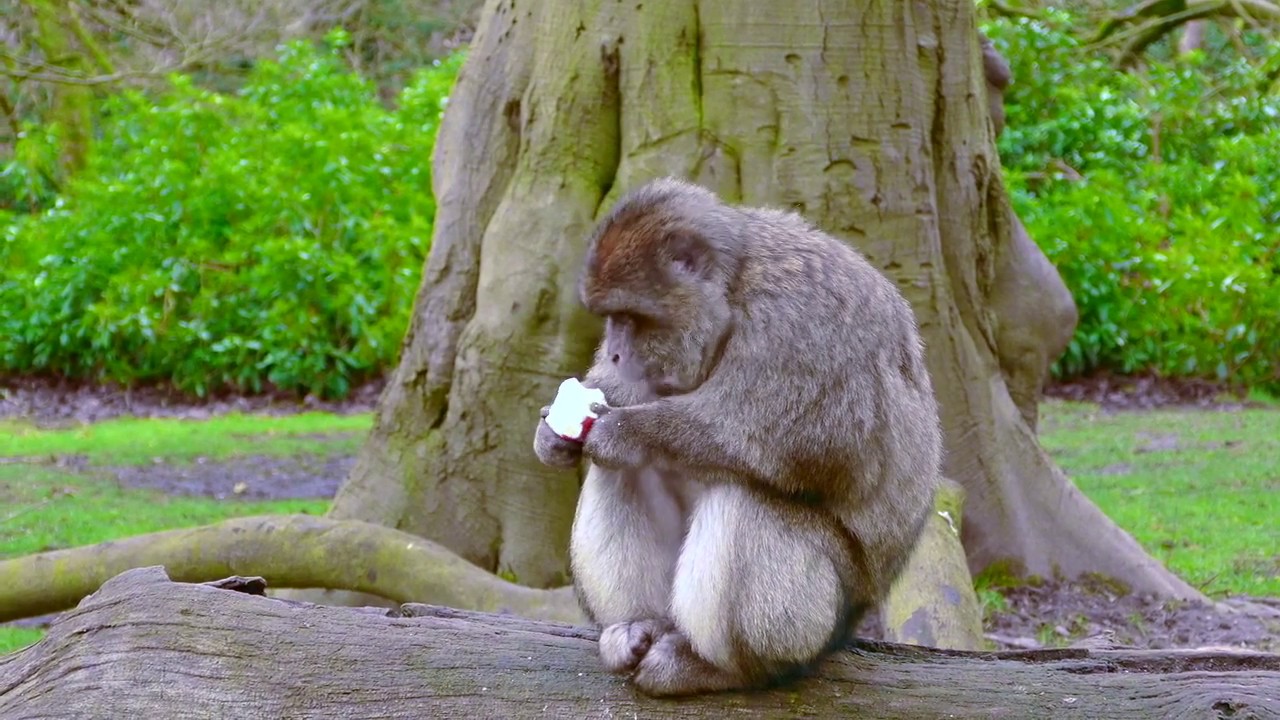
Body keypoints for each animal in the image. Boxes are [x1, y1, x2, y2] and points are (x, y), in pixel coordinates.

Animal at [532, 177, 943, 697]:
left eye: (630, 317)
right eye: (611, 320)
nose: (619, 352)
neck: (735, 292)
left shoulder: (800, 319)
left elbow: (807, 441)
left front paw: (623, 430)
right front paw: (554, 429)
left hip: (824, 622)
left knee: (745, 499)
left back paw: (722, 668)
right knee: (627, 475)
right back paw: (637, 625)